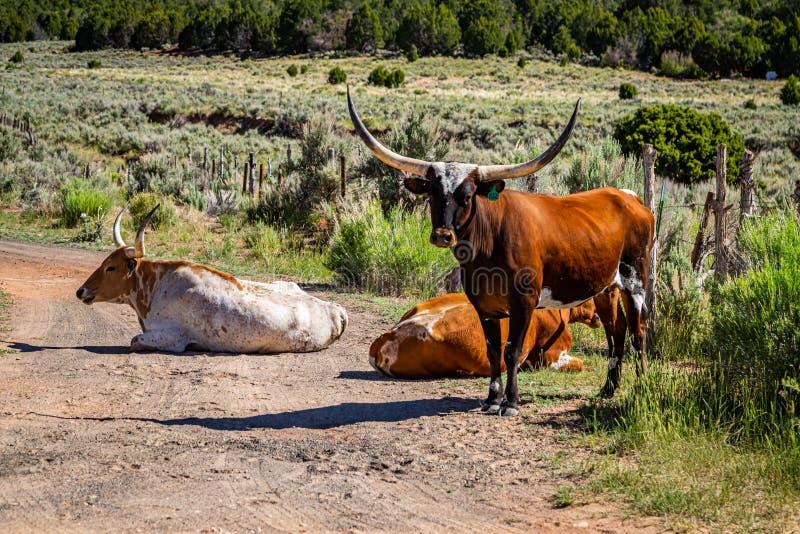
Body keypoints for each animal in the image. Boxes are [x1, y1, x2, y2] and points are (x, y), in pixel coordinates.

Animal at [76, 207, 348, 353]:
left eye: (111, 268)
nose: (81, 291)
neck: (155, 287)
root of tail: (335, 308)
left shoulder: (173, 338)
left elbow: (134, 341)